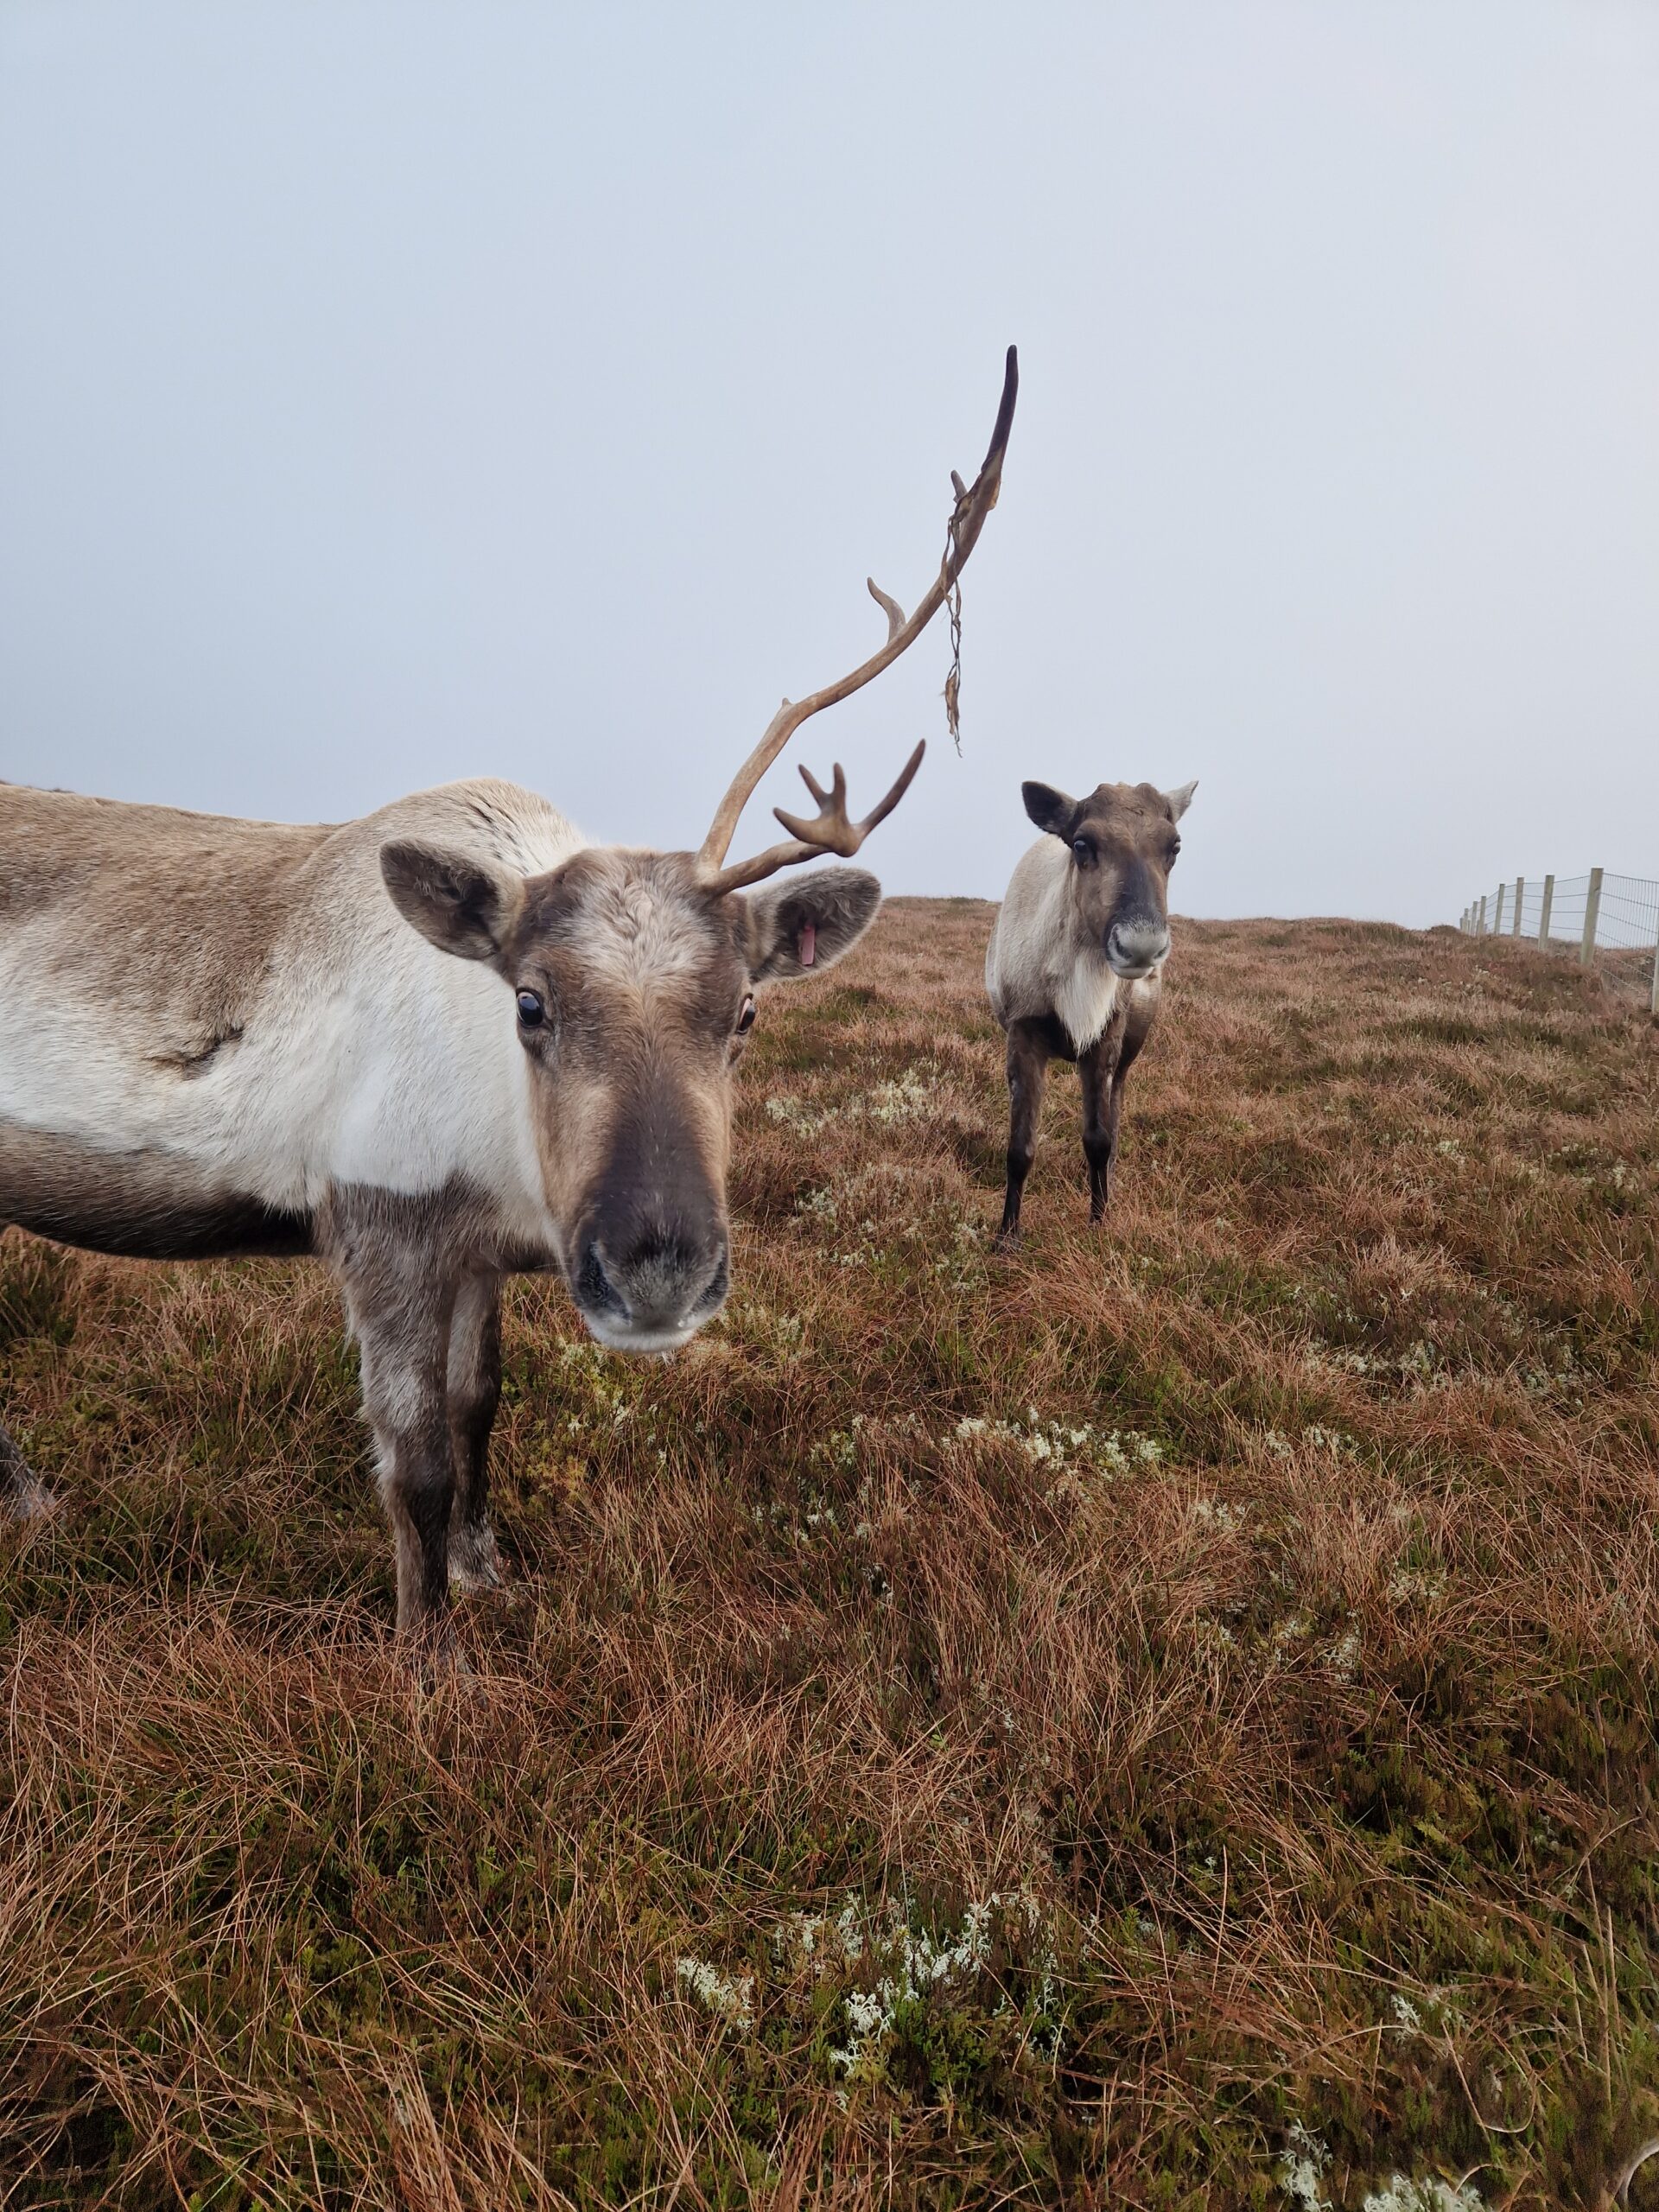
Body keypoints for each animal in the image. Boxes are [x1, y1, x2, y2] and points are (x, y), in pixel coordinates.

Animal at [0, 348, 1018, 1643]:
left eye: (745, 1012)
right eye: (529, 1002)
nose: (658, 1268)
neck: (509, 1158)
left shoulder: (476, 1253)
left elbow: (484, 1406)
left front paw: (487, 1568)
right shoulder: (381, 1236)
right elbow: (416, 1463)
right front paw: (429, 1651)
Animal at [984, 773, 1195, 1242]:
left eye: (1174, 846)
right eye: (1081, 844)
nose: (1141, 946)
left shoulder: (1105, 1037)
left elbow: (1098, 1140)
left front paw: (1098, 1221)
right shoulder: (1023, 1032)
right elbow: (1019, 1148)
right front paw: (1007, 1235)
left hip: (1130, 1048)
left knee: (1116, 1112)